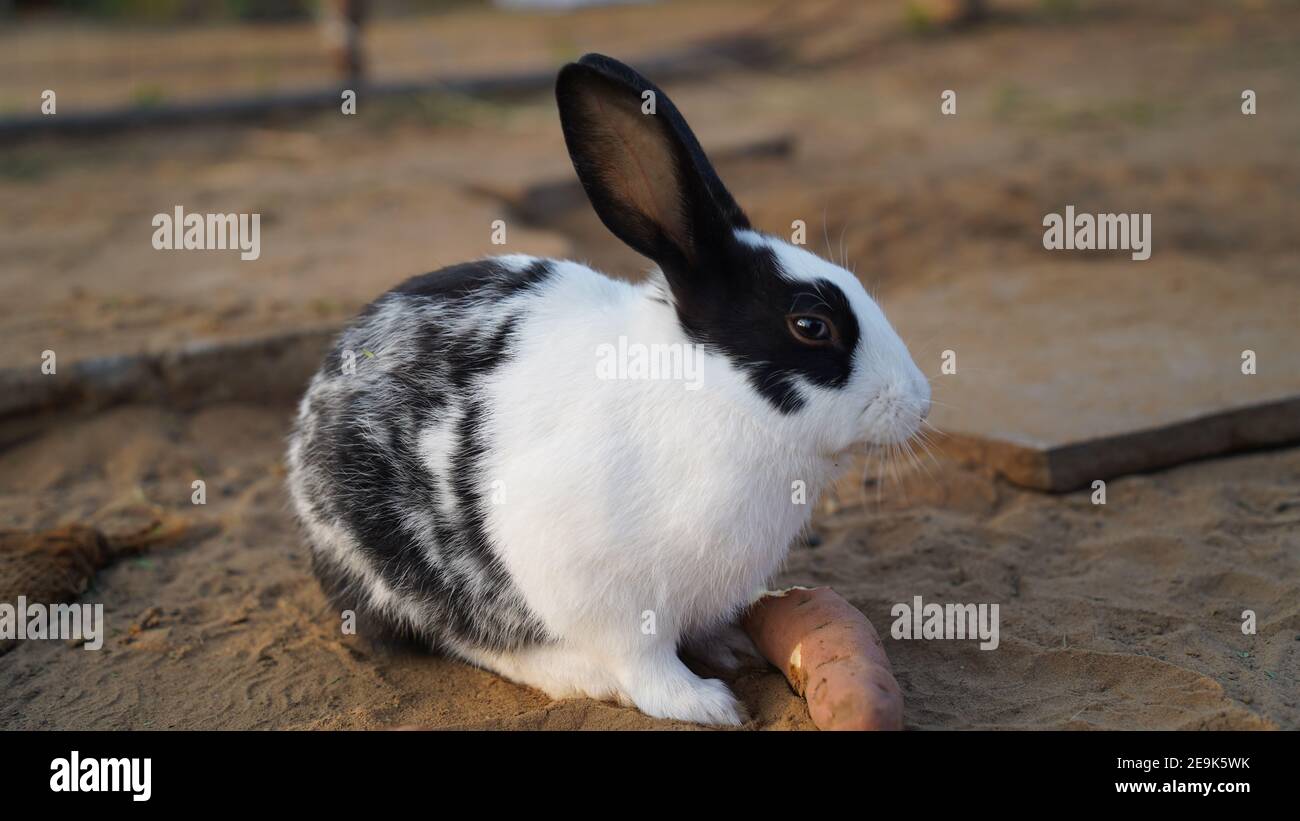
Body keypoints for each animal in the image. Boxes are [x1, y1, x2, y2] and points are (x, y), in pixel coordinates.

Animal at [285, 53, 930, 726]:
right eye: (811, 325)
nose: (918, 403)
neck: (711, 390)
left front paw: (733, 648)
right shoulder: (606, 596)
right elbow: (646, 664)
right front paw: (708, 704)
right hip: (390, 570)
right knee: (454, 635)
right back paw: (573, 672)